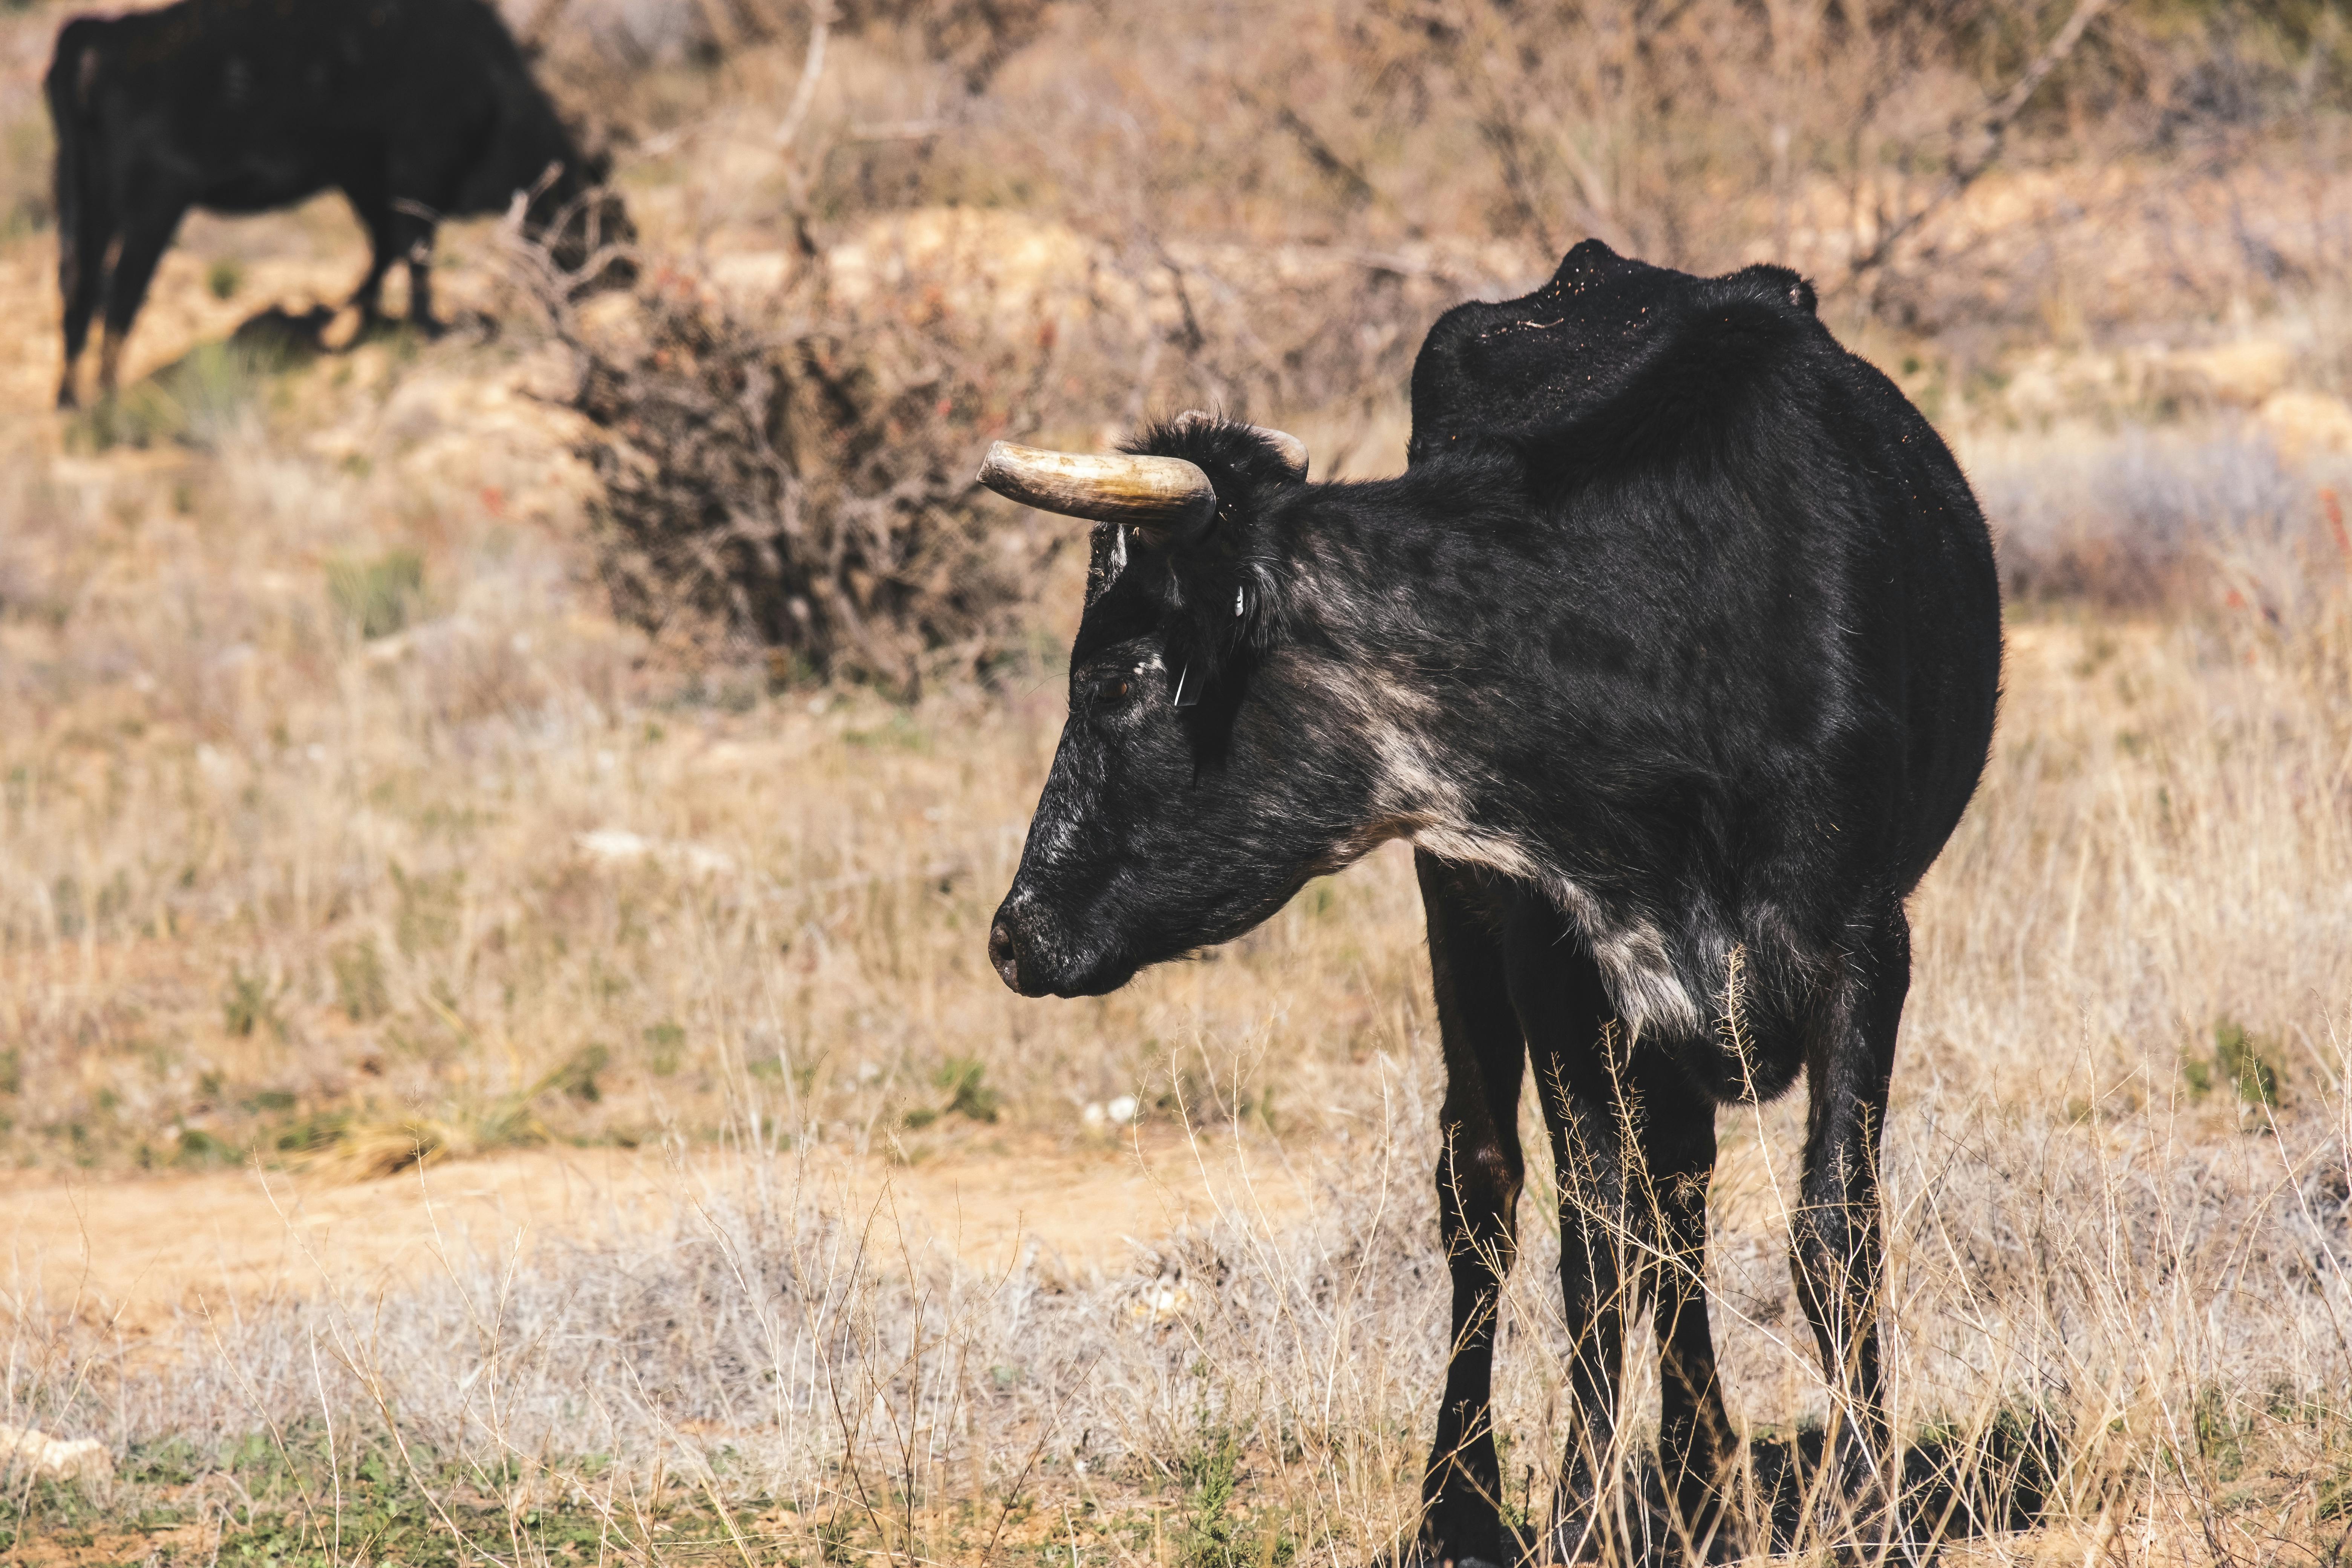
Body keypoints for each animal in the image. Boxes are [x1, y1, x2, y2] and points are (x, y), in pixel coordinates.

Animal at [45, 0, 631, 408]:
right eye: (607, 215)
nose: (627, 274)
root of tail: (105, 33)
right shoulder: (418, 168)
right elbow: (415, 249)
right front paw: (428, 327)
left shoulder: (363, 177)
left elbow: (385, 249)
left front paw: (350, 318)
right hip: (155, 200)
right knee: (120, 293)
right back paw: (109, 400)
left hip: (84, 198)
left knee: (79, 286)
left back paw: (71, 400)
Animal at [975, 240, 2002, 1565]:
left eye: (1115, 681)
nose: (1016, 931)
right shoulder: (1553, 953)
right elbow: (1596, 1247)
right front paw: (1577, 1515)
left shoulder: (1865, 945)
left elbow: (1834, 1228)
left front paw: (1871, 1507)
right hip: (1465, 919)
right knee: (1494, 1191)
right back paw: (1481, 1501)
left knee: (1681, 1198)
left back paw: (1700, 1485)